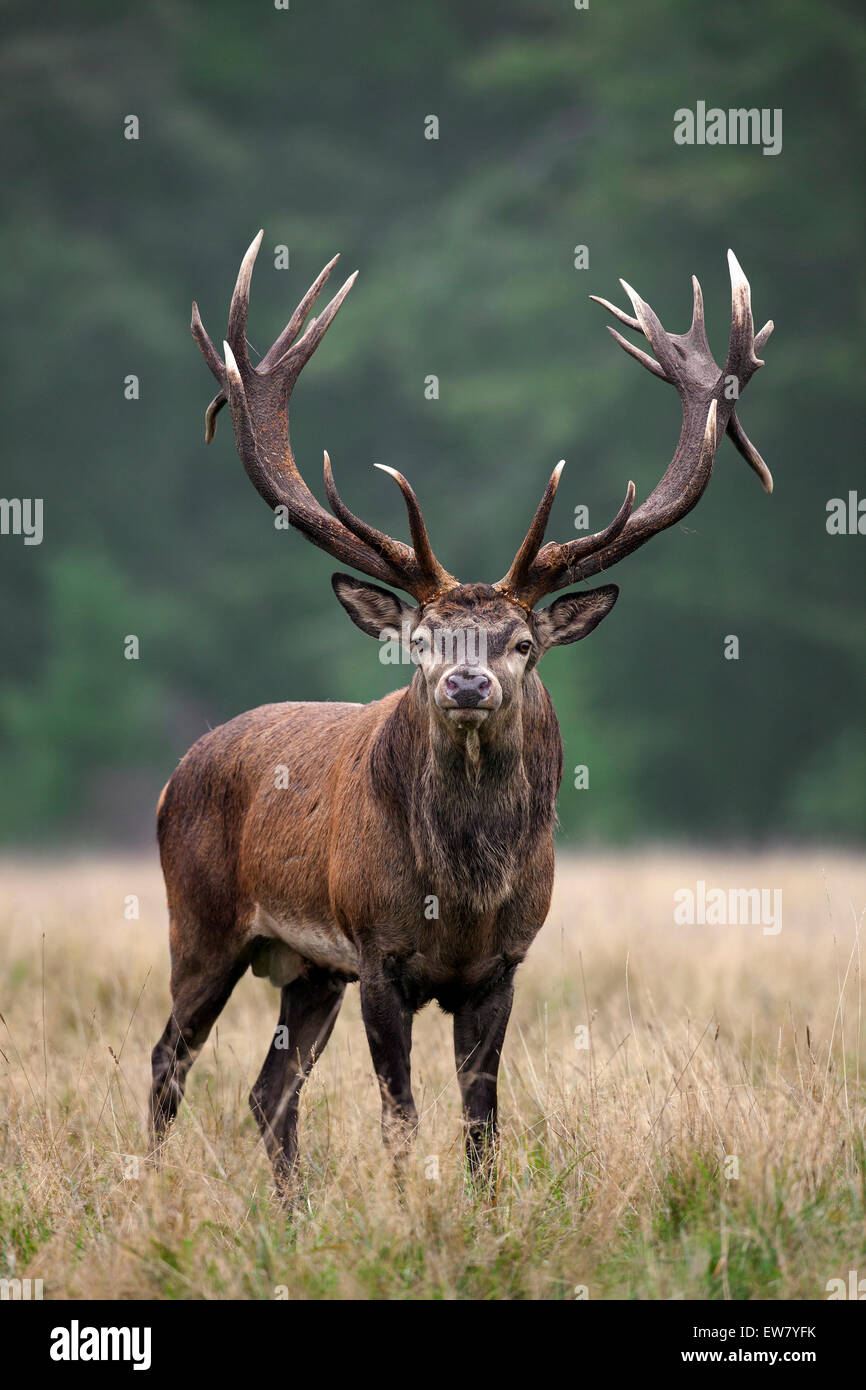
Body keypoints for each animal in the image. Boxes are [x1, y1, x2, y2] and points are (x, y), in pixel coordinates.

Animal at [150, 233, 773, 1192]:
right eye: (421, 641)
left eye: (521, 643)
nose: (468, 685)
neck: (466, 894)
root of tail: (173, 777)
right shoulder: (378, 953)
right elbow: (401, 1120)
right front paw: (412, 1209)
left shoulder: (503, 966)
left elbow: (484, 1126)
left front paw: (479, 1209)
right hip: (203, 923)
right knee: (168, 1063)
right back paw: (142, 1186)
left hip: (309, 969)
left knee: (266, 1094)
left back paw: (292, 1213)